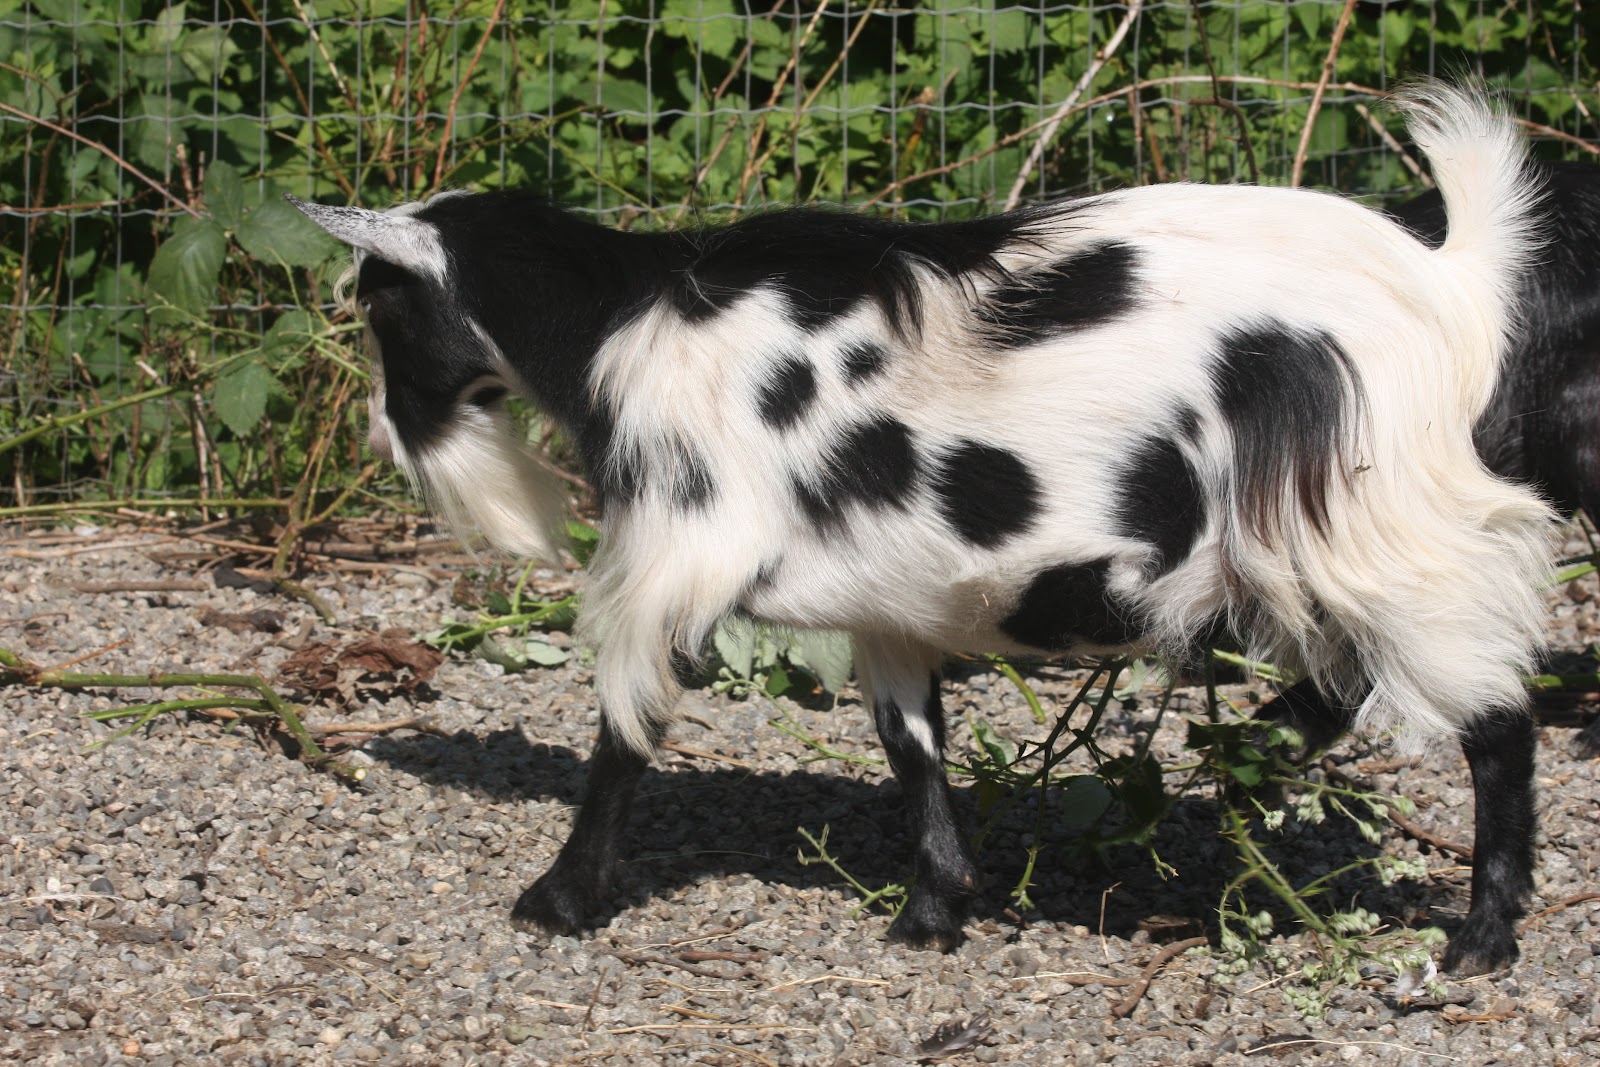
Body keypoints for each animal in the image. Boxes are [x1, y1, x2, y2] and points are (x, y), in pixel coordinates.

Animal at [289, 82, 1554, 975]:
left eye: (378, 306)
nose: (383, 432)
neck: (621, 327)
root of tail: (1446, 285)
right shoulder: (886, 591)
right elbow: (912, 746)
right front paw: (935, 907)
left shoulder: (679, 553)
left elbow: (625, 728)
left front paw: (558, 897)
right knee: (1354, 683)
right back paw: (1253, 760)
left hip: (1375, 528)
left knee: (1493, 714)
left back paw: (1480, 935)